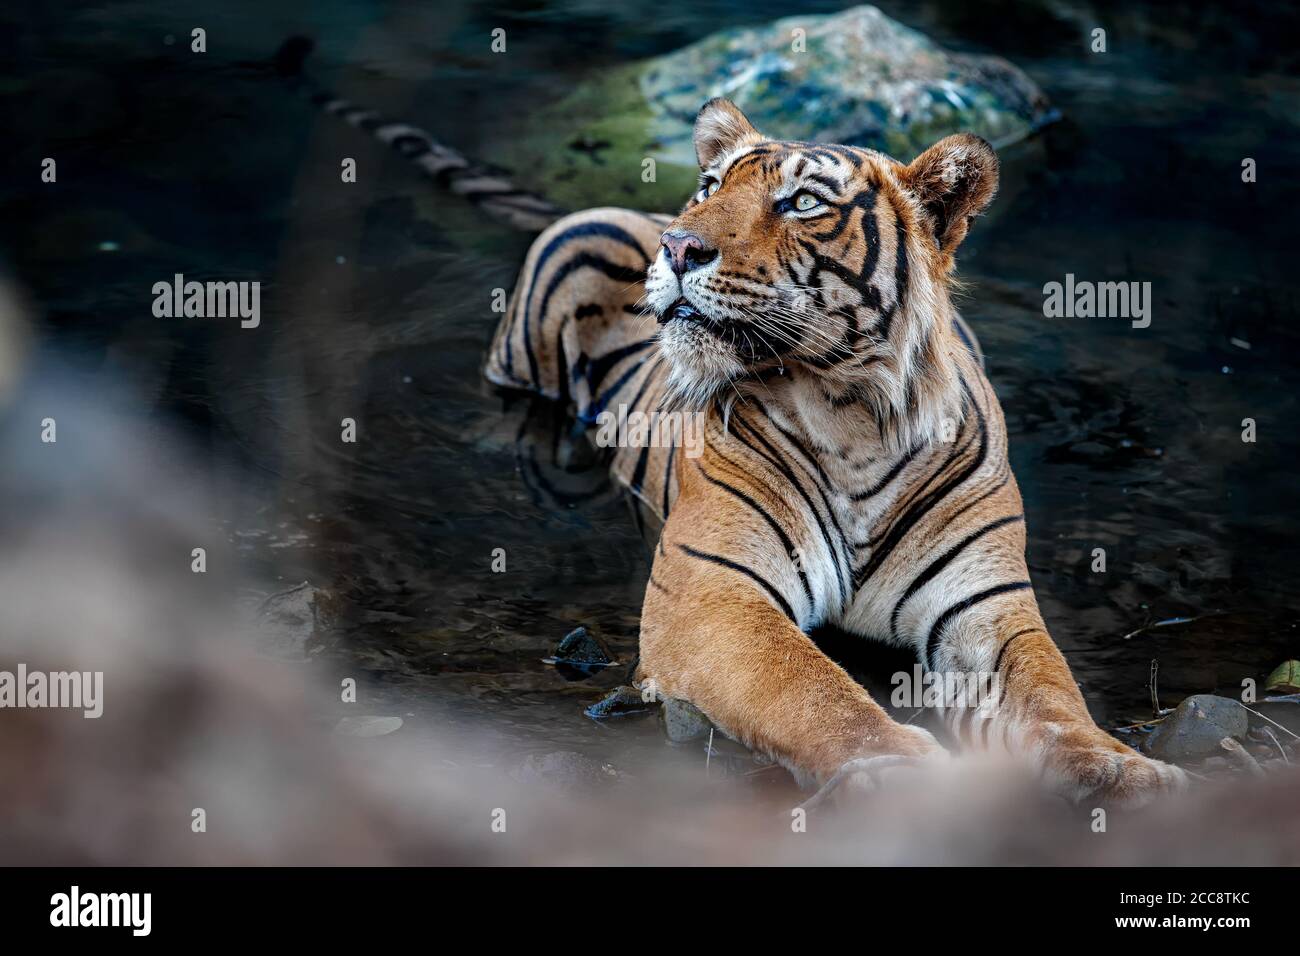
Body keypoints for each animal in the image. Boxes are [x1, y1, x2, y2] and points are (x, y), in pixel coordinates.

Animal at [485, 98, 1187, 805]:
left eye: (801, 203)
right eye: (710, 188)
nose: (678, 247)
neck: (851, 418)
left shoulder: (986, 604)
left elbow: (1051, 693)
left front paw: (1120, 769)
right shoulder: (713, 589)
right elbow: (809, 687)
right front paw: (897, 767)